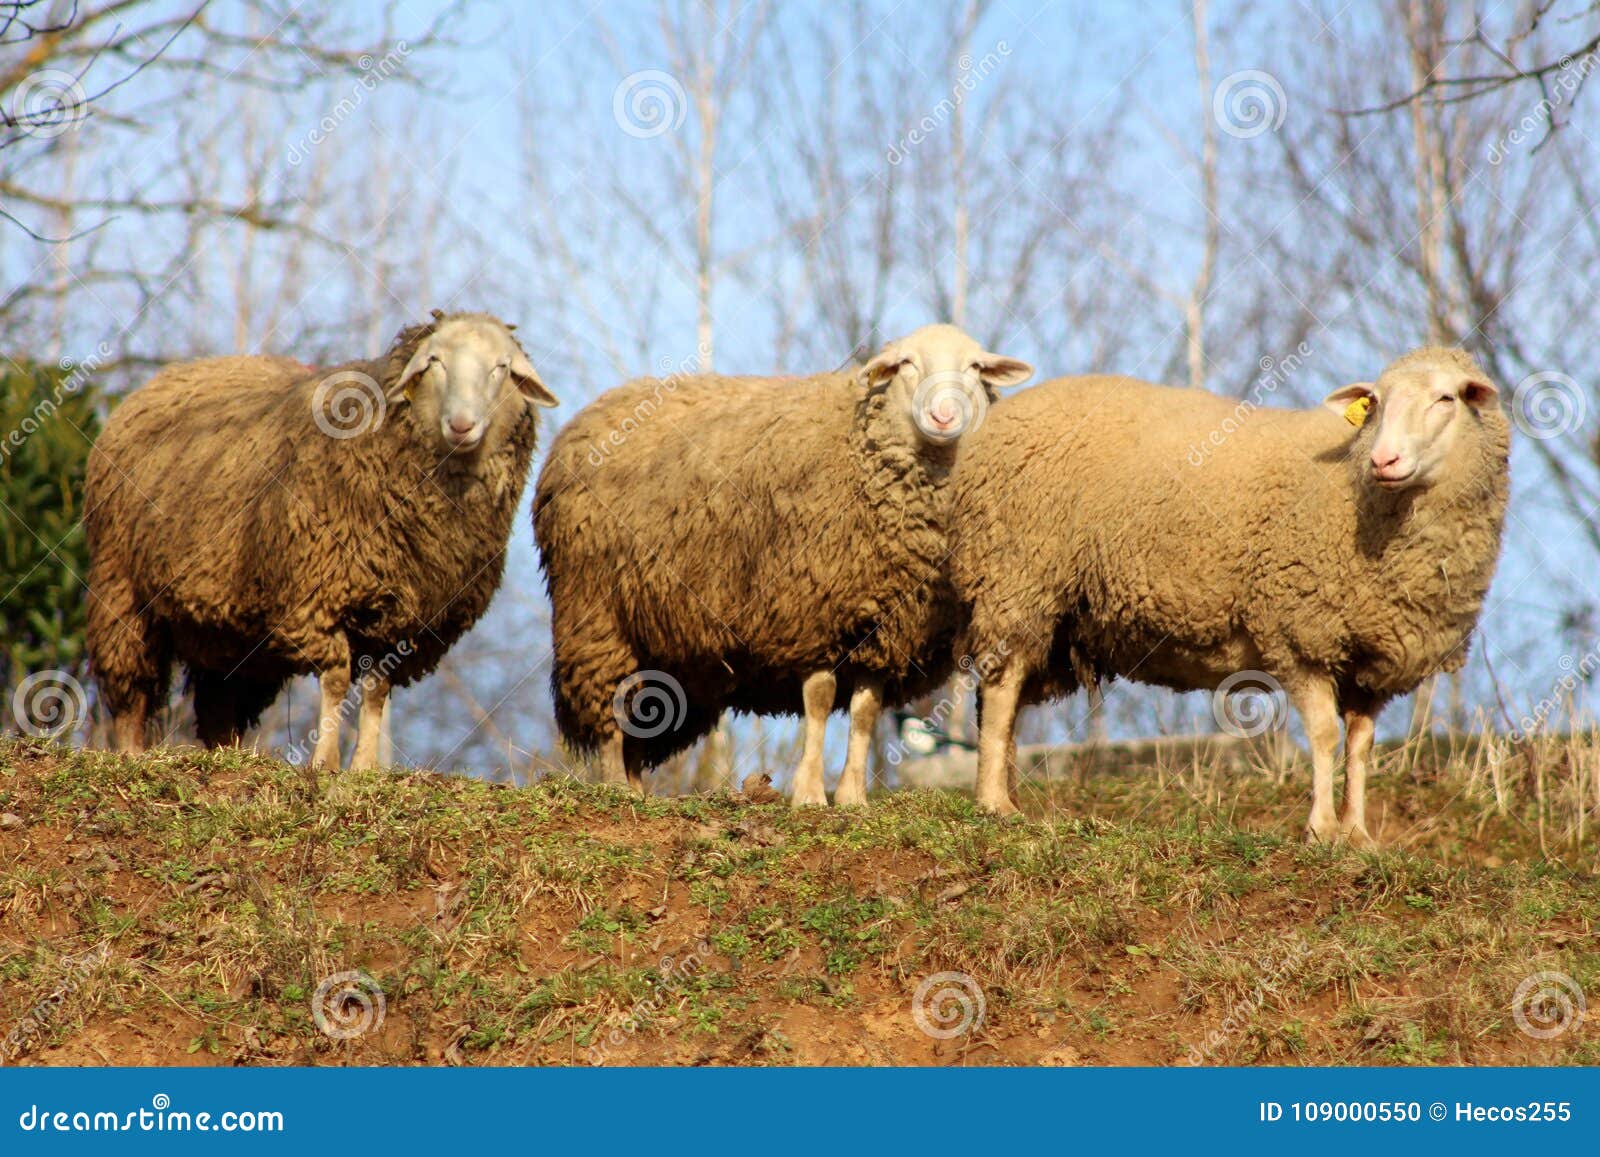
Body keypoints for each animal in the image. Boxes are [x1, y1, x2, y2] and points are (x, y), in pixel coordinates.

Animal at [85, 311, 558, 770]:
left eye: (501, 367)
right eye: (435, 361)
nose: (462, 425)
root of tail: (172, 374)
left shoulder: (402, 622)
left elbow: (376, 689)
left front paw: (365, 767)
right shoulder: (318, 596)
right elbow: (336, 678)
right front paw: (325, 762)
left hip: (228, 629)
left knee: (221, 702)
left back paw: (226, 755)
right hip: (122, 589)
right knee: (130, 685)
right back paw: (131, 754)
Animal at [533, 324, 1032, 805]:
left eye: (974, 367)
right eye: (906, 362)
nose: (943, 417)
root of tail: (594, 411)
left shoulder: (882, 627)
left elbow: (865, 710)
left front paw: (853, 798)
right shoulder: (812, 611)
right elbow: (820, 699)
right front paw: (809, 794)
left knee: (641, 711)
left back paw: (637, 788)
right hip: (595, 613)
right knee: (609, 704)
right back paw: (615, 785)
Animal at [948, 347, 1510, 845]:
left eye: (1446, 399)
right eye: (1375, 402)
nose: (1383, 459)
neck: (1363, 499)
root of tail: (1001, 416)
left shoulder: (1372, 660)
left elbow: (1360, 744)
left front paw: (1358, 834)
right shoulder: (1297, 631)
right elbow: (1324, 735)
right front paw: (1322, 830)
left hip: (1054, 613)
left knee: (1005, 699)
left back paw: (1009, 795)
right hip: (1018, 579)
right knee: (1001, 691)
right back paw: (994, 804)